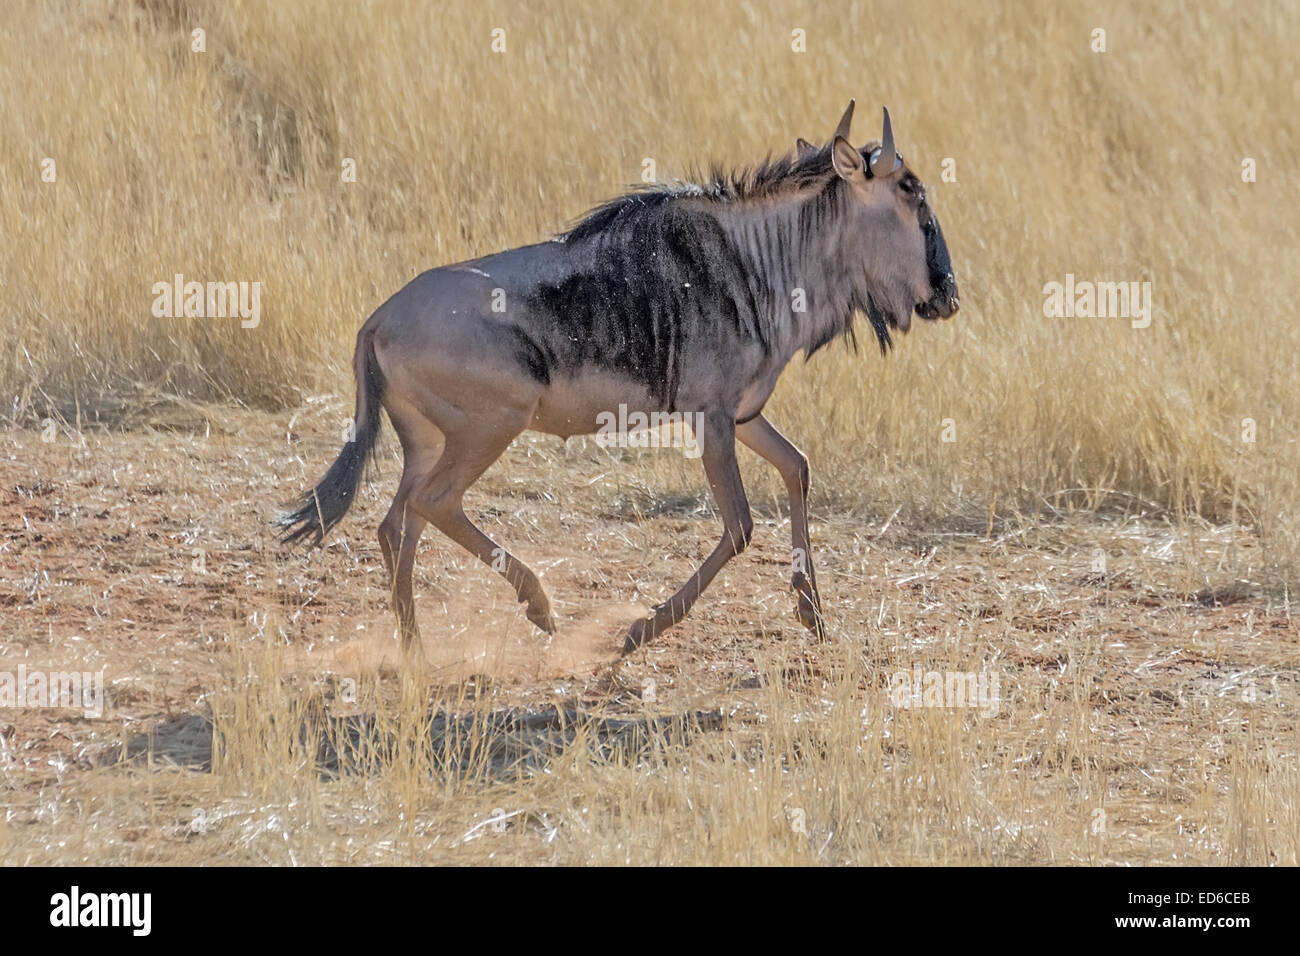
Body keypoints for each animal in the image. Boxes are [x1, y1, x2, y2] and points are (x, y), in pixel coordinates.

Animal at [280, 101, 959, 653]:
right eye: (913, 196)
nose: (948, 296)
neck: (760, 260)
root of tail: (377, 320)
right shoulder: (712, 418)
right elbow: (739, 524)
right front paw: (641, 628)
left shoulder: (742, 413)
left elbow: (797, 467)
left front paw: (811, 611)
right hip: (490, 426)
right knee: (433, 504)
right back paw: (538, 605)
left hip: (428, 440)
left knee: (397, 523)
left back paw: (415, 651)